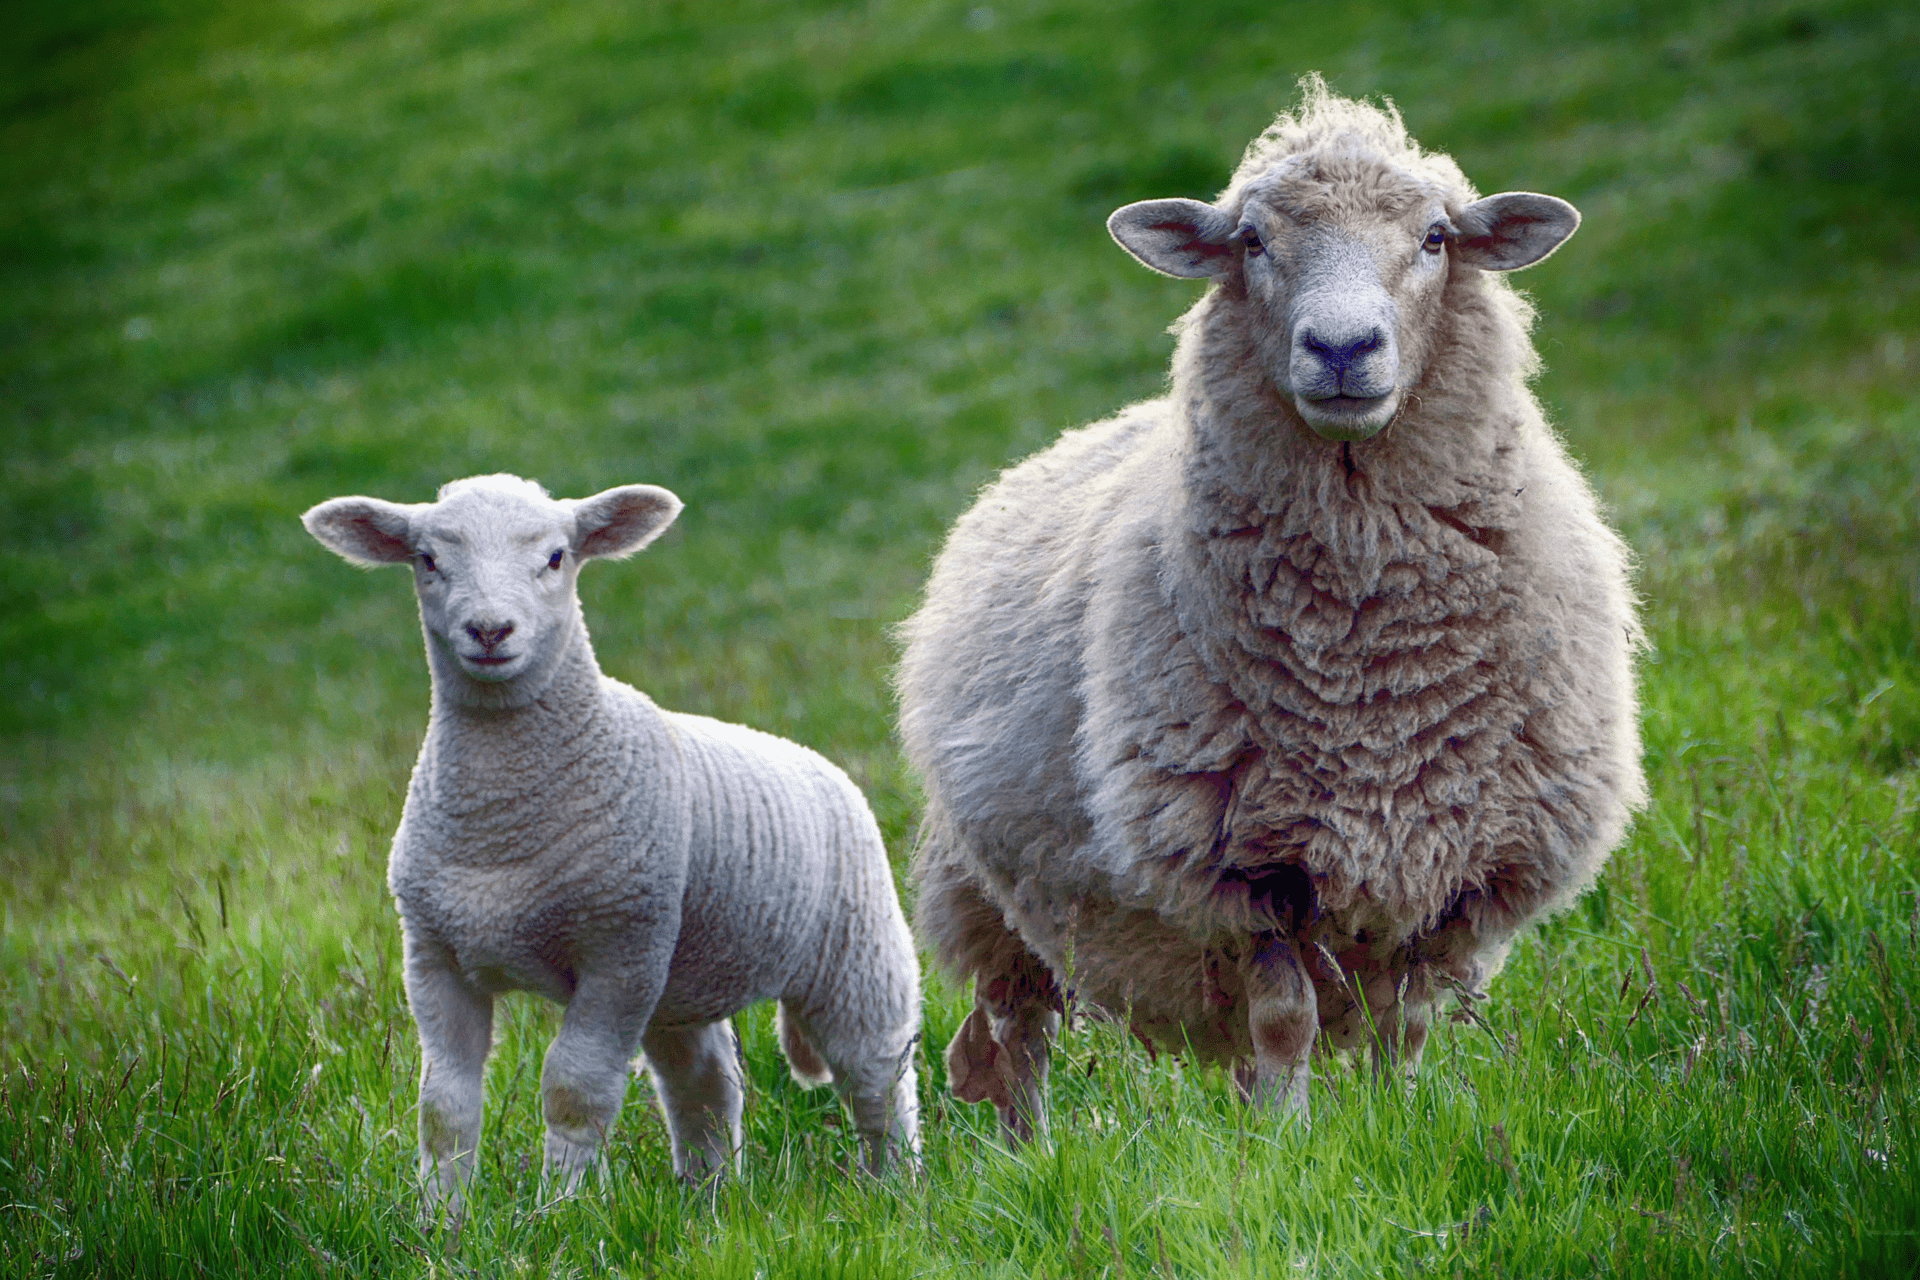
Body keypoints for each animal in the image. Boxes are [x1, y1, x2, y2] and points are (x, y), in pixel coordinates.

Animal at [302, 474, 920, 1219]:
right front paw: (437, 1219)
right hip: (679, 978)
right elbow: (443, 1105)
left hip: (854, 950)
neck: (500, 825)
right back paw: (708, 1198)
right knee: (705, 1086)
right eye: (427, 560)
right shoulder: (434, 956)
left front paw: (556, 1212)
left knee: (878, 1073)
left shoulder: (617, 950)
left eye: (556, 557)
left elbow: (575, 1089)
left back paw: (895, 1188)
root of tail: (820, 764)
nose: (489, 631)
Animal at [897, 77, 1644, 1142]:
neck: (1371, 667)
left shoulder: (1455, 865)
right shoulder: (1245, 870)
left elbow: (1404, 1027)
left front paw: (1392, 1125)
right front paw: (1286, 1146)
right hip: (989, 893)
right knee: (1016, 1033)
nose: (1341, 347)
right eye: (1252, 240)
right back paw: (1030, 1153)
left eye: (1435, 237)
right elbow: (1286, 1019)